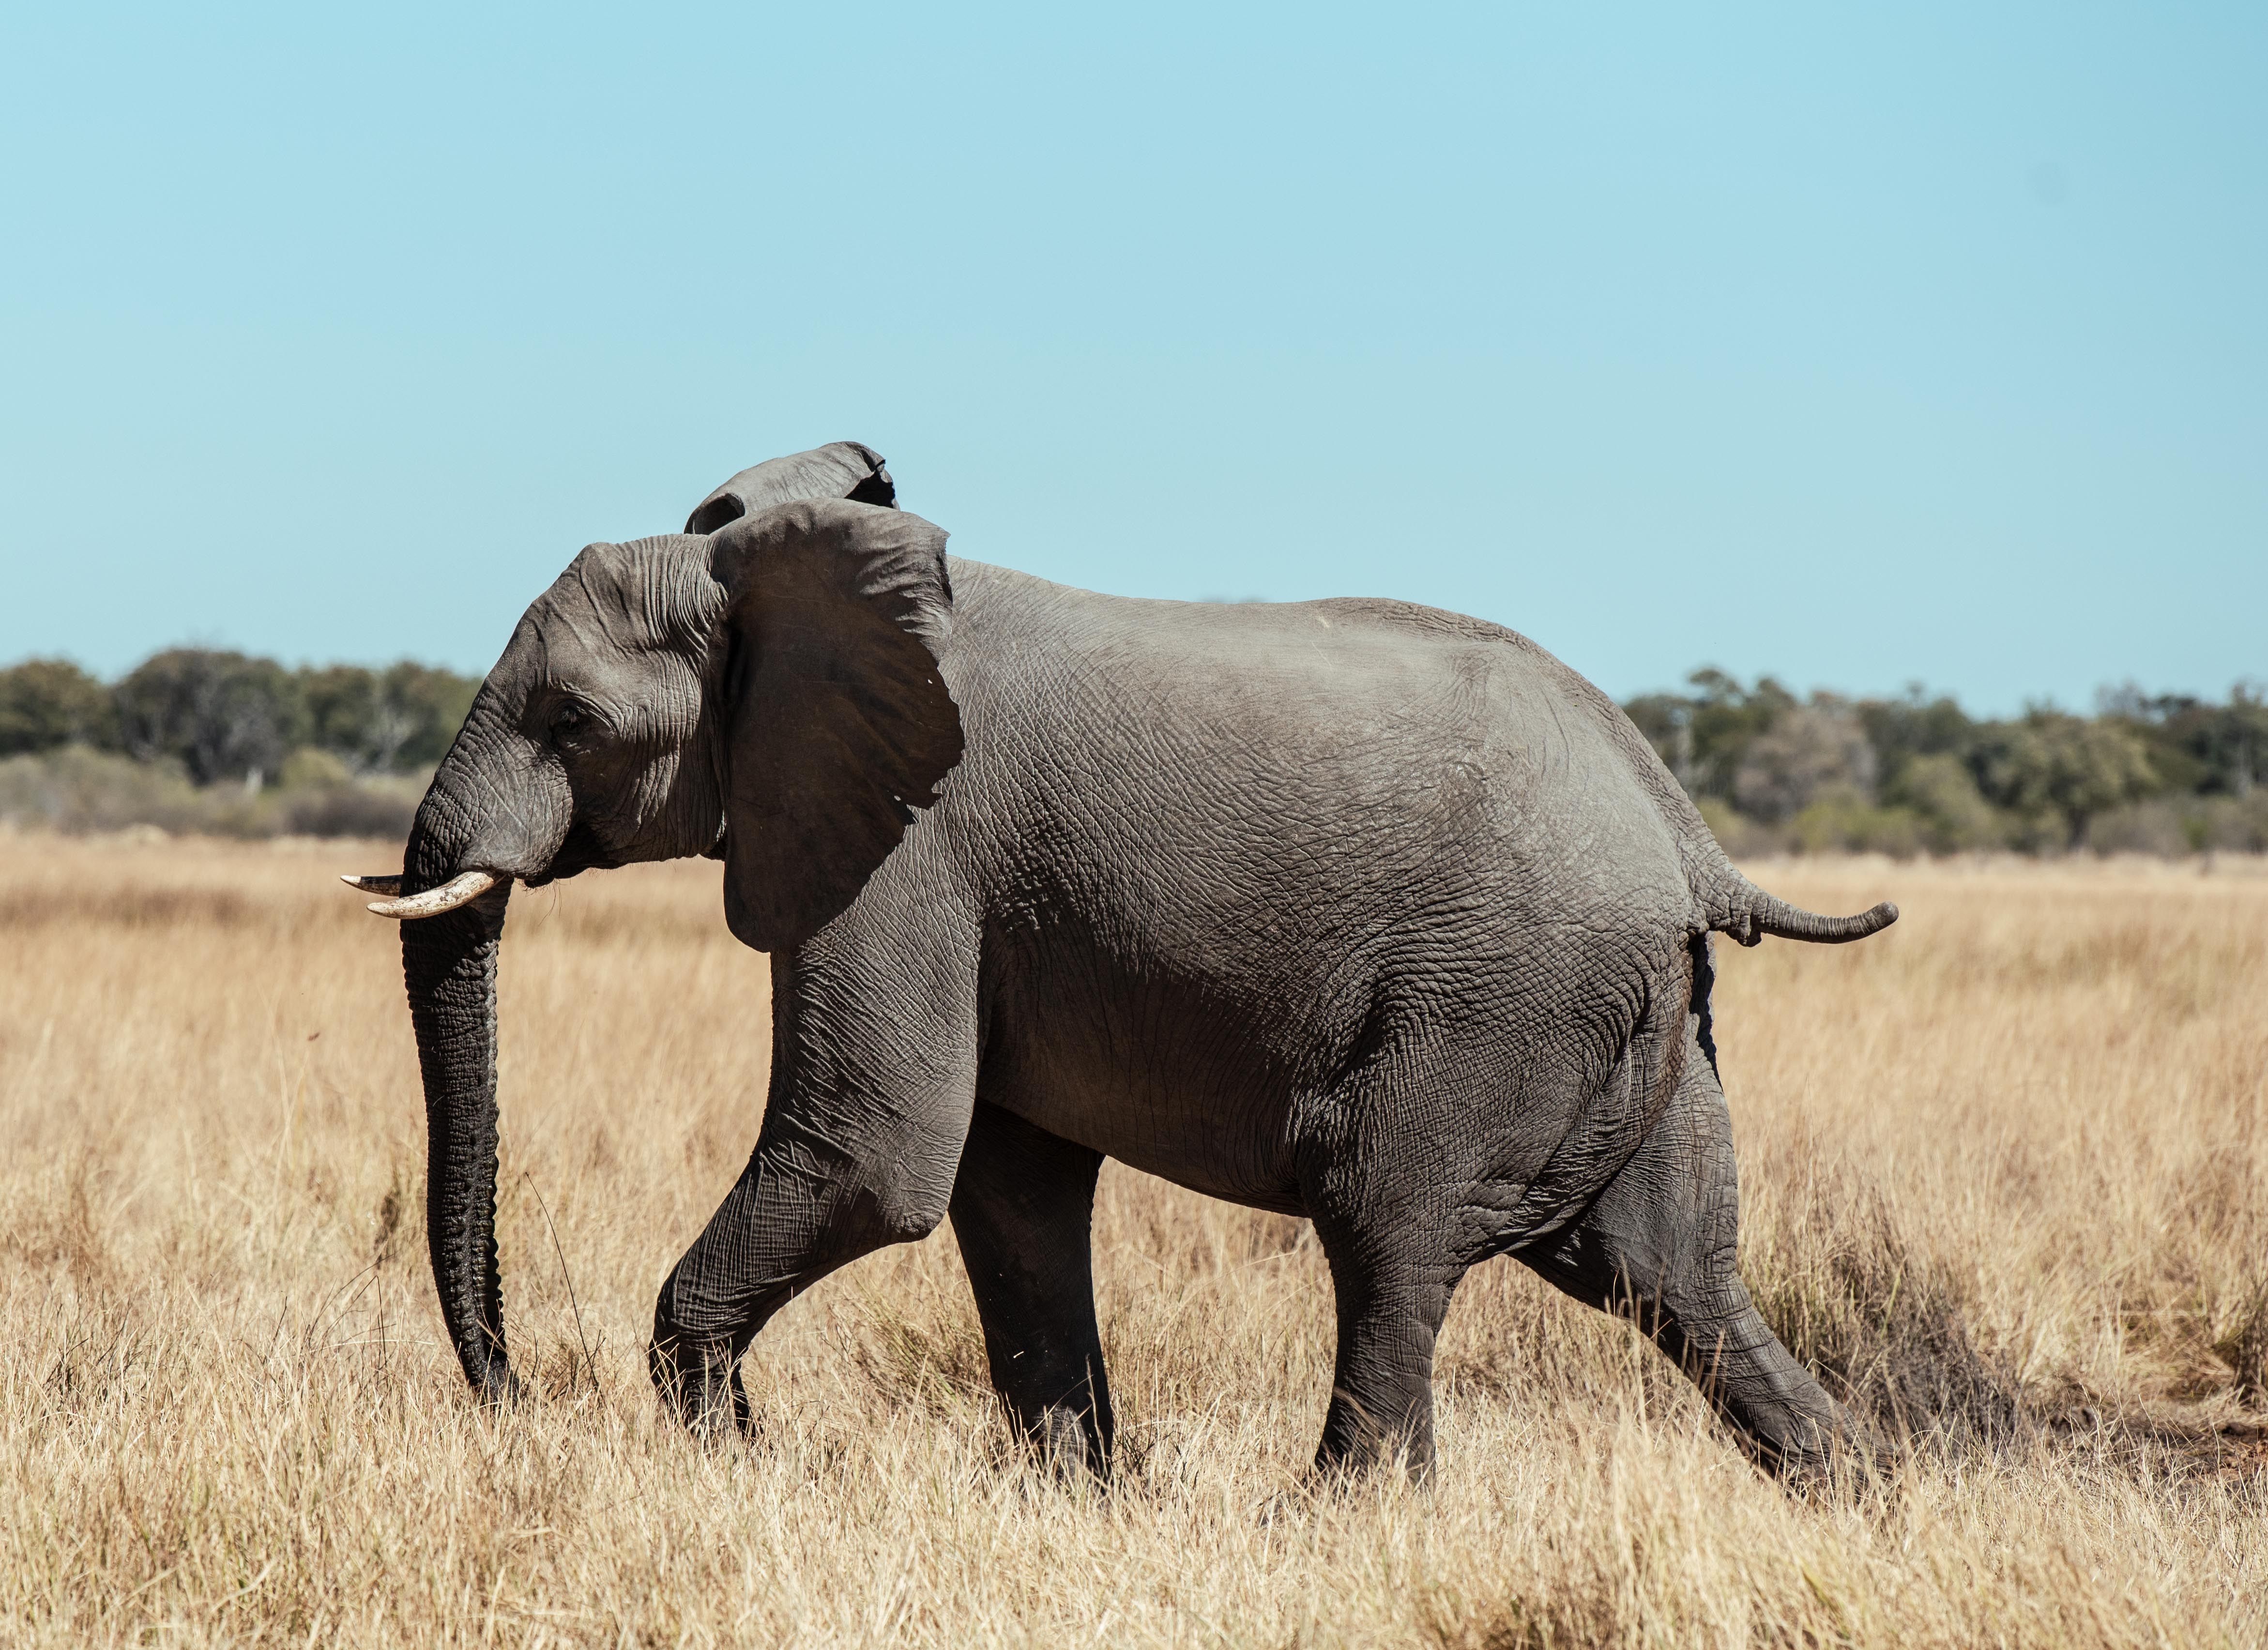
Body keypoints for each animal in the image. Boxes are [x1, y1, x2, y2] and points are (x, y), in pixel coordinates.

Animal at [345, 441, 1897, 1478]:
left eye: (570, 721)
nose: (515, 1400)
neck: (787, 578)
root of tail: (1681, 830)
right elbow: (1009, 1190)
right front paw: (1077, 1492)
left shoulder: (907, 849)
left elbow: (875, 1155)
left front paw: (732, 1460)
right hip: (1634, 1023)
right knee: (1670, 1273)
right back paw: (1851, 1493)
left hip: (1499, 999)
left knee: (1390, 1231)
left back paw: (1335, 1521)